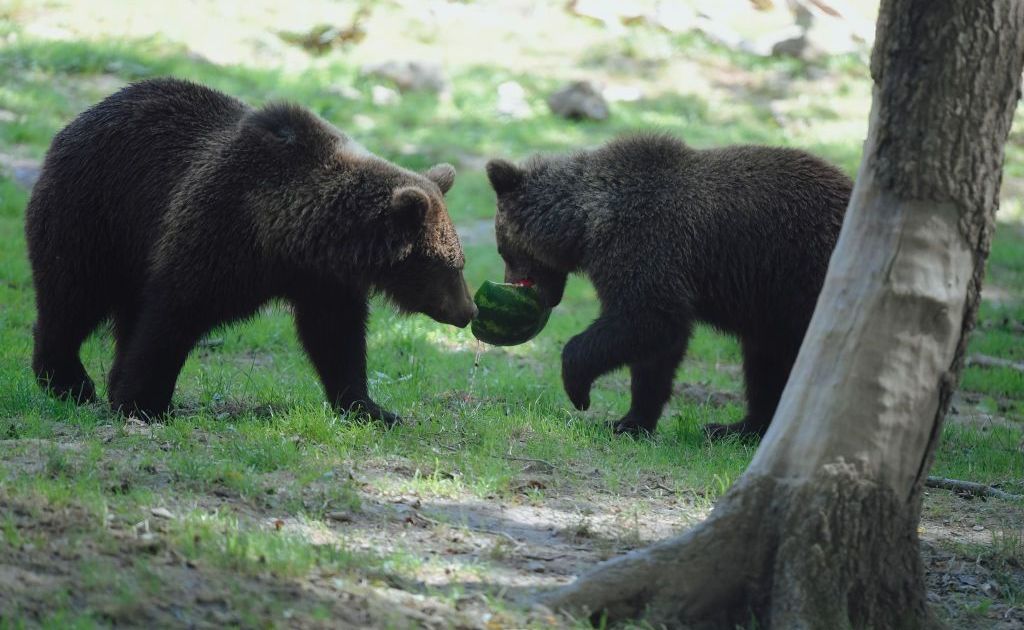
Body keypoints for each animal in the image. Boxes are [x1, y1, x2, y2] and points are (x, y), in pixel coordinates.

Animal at [25, 77, 477, 423]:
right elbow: (171, 317)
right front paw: (141, 401)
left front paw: (372, 408)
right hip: (96, 216)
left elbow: (336, 339)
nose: (468, 310)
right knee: (72, 295)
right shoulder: (218, 236)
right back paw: (69, 382)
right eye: (450, 264)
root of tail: (80, 117)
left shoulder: (323, 282)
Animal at [485, 133, 852, 439]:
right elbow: (657, 353)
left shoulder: (646, 244)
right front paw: (630, 422)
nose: (510, 282)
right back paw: (735, 428)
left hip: (804, 276)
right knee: (765, 363)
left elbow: (649, 320)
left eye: (503, 249)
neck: (587, 220)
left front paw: (579, 390)